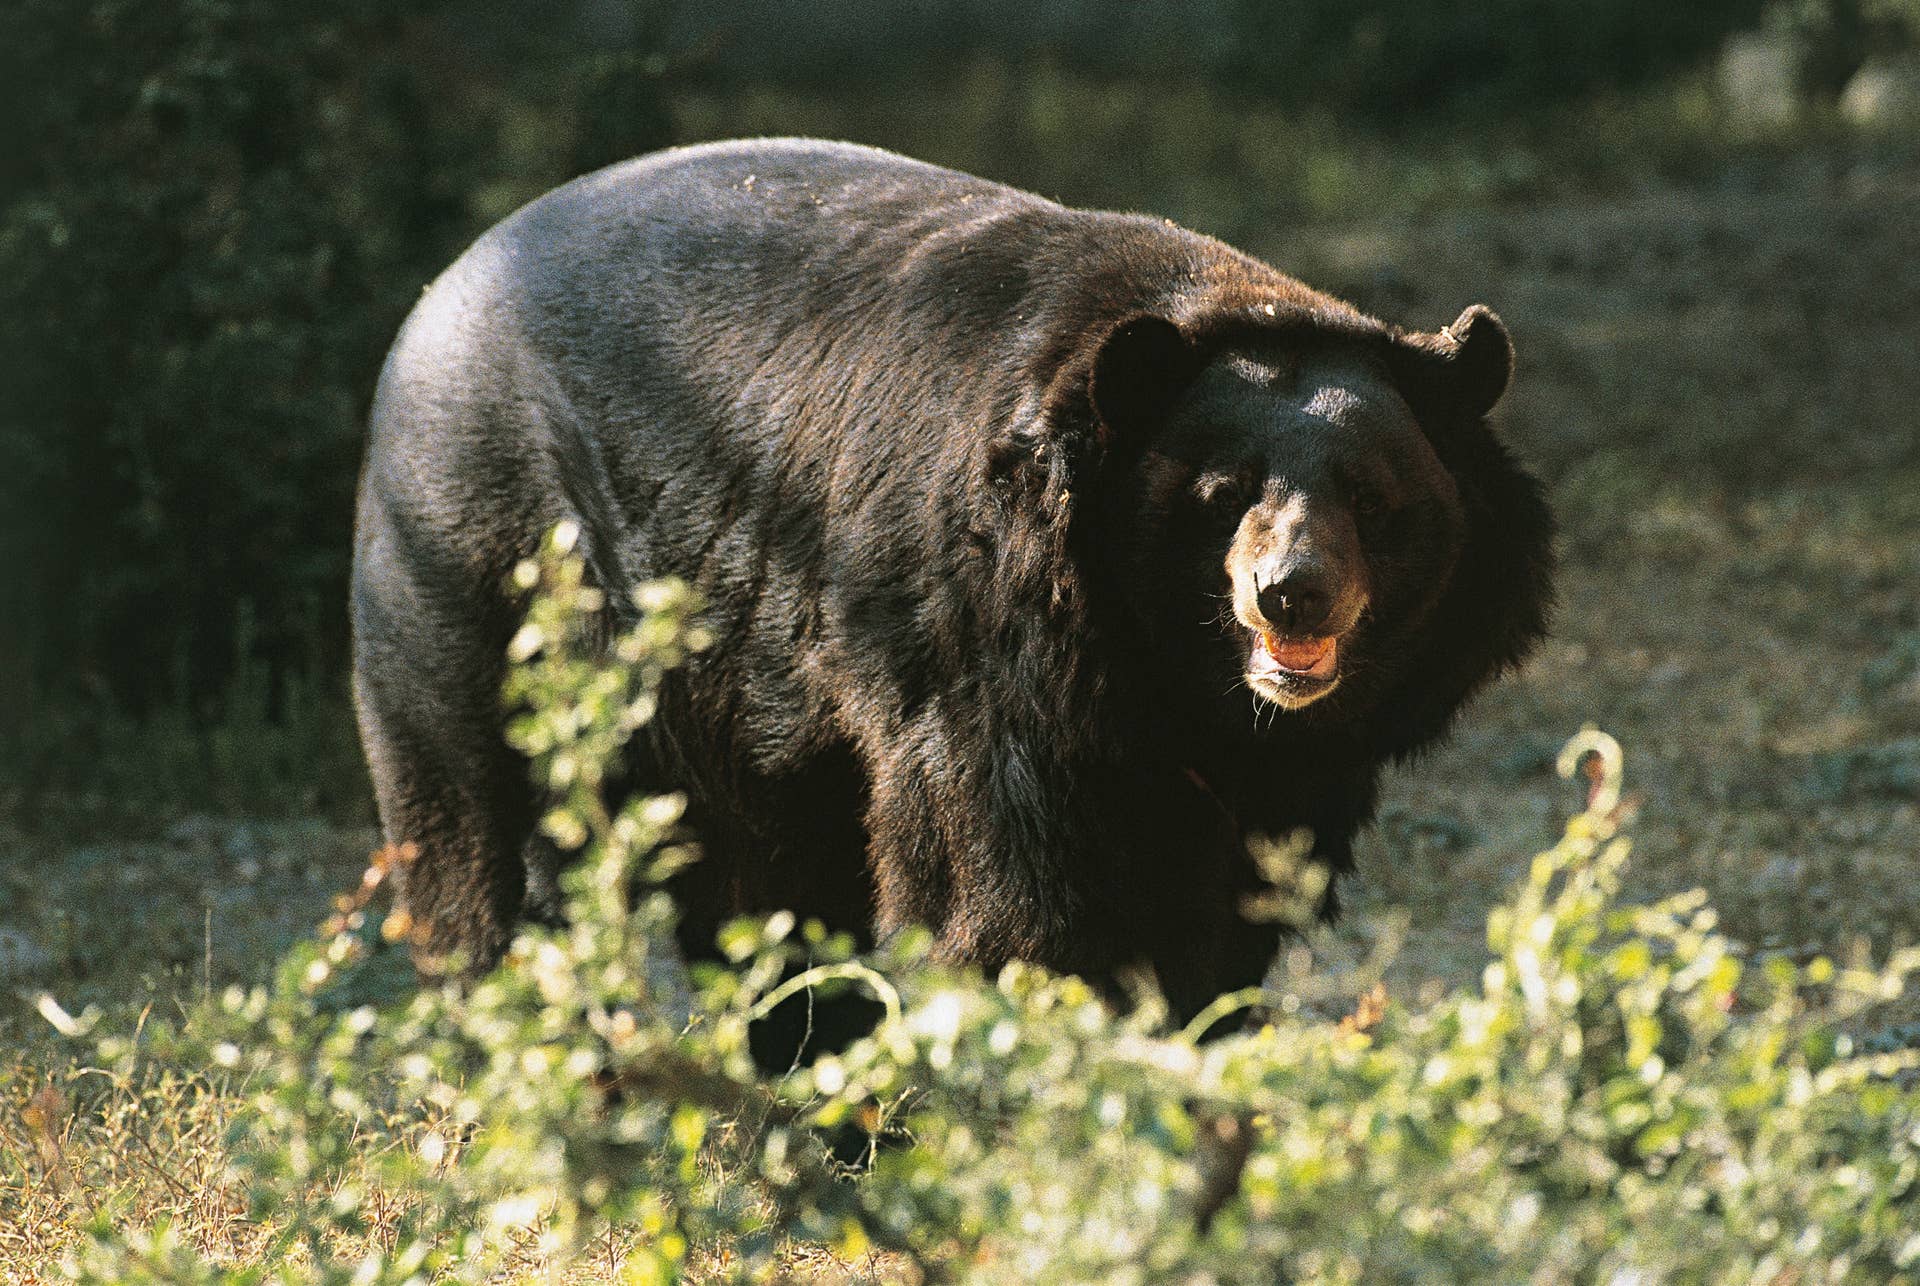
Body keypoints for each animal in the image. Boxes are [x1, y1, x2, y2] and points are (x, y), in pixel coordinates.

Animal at [351, 138, 1554, 1025]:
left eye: (1373, 496)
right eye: (1222, 493)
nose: (1292, 592)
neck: (1168, 673)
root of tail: (435, 293)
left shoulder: (1275, 764)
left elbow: (1224, 912)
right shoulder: (981, 649)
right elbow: (1007, 889)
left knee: (767, 888)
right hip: (476, 563)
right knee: (476, 829)